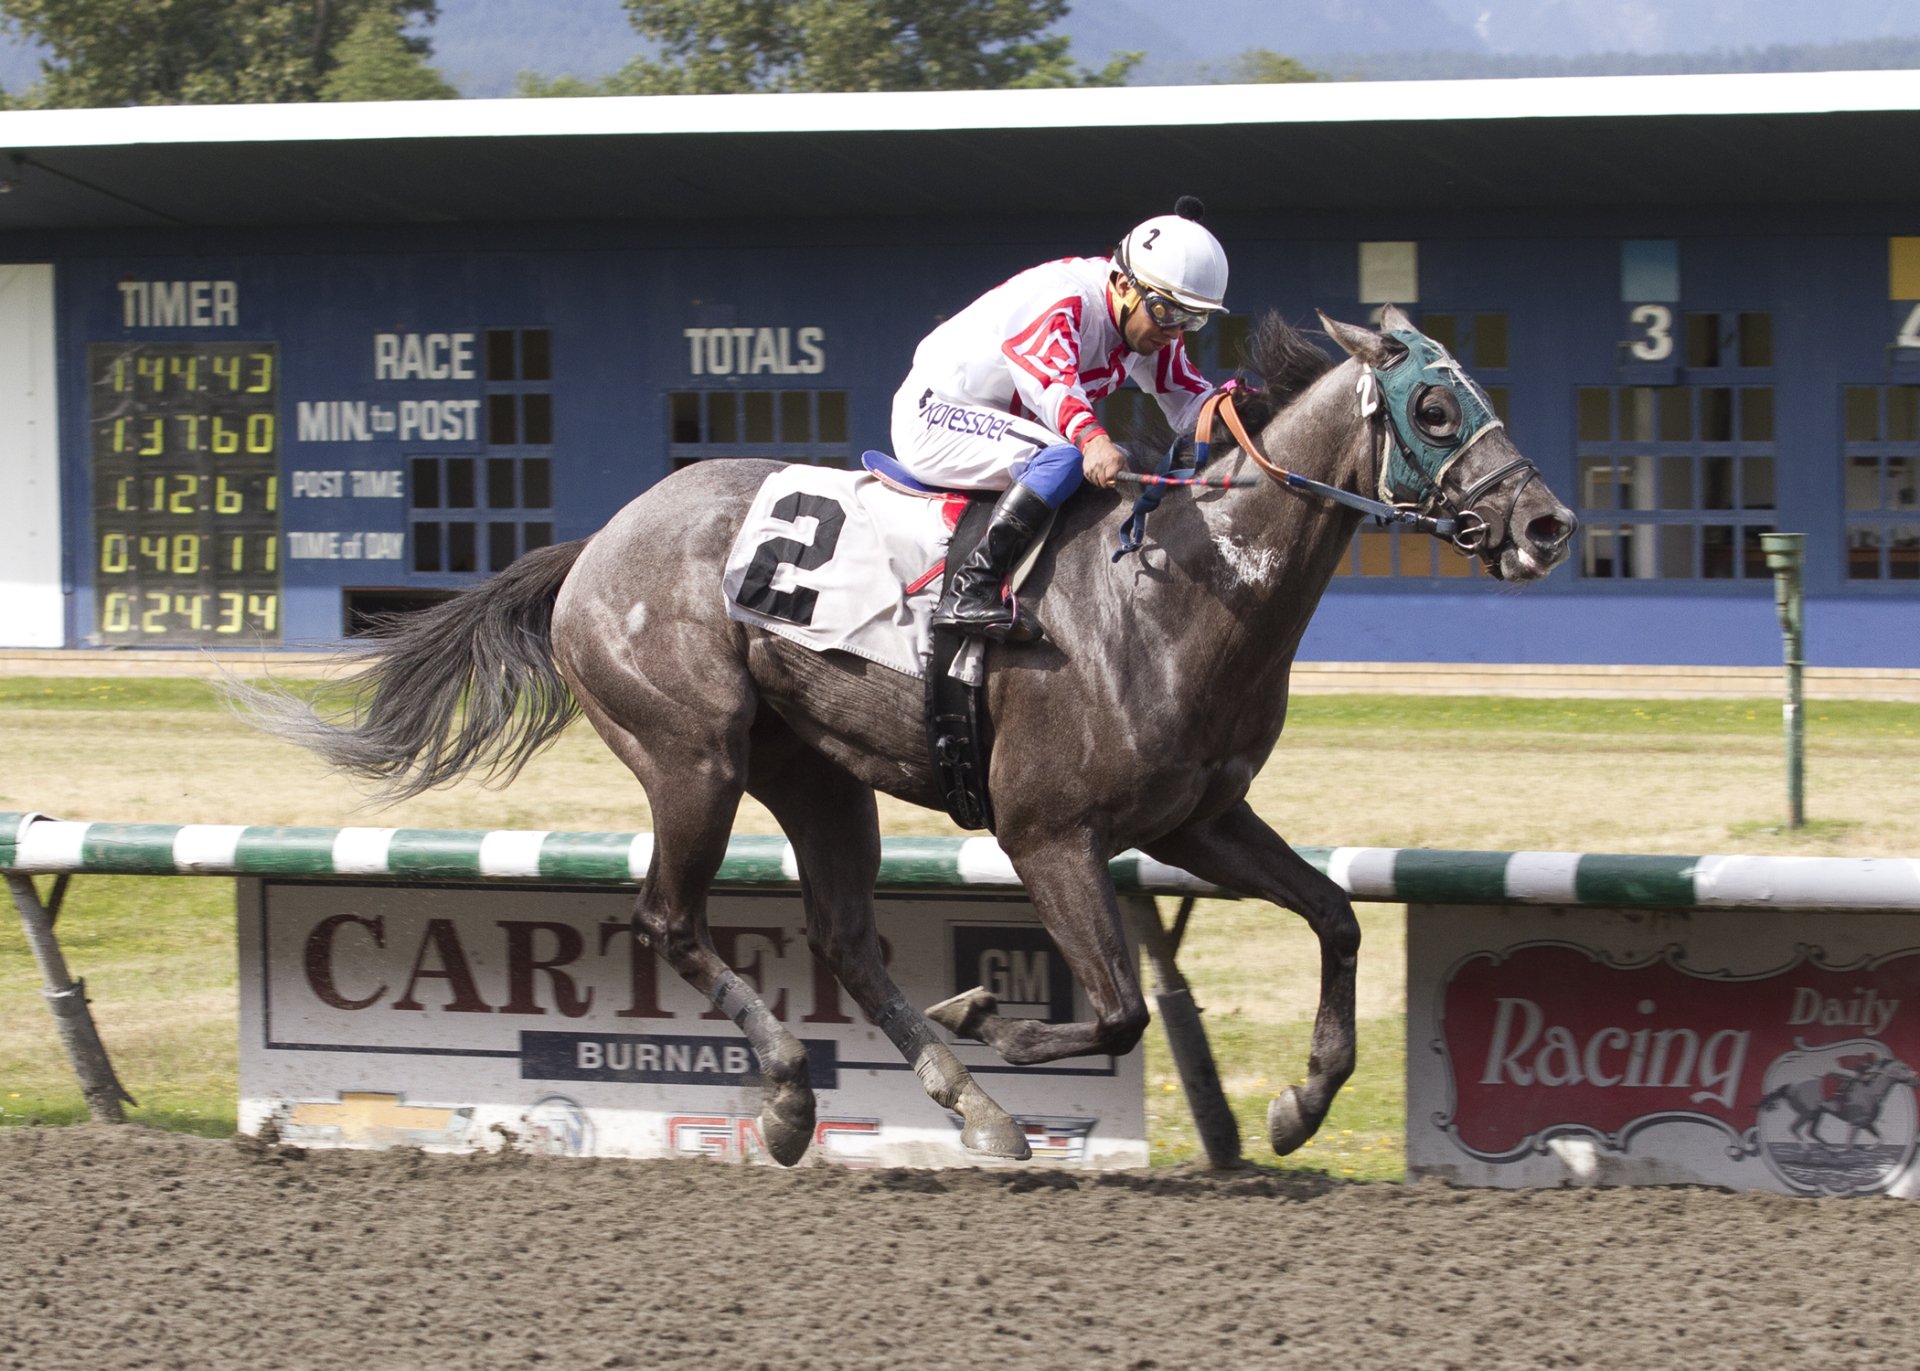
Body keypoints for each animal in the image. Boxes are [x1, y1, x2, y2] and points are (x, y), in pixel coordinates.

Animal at [235, 305, 1576, 1167]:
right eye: (1437, 404)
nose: (1548, 526)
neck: (1179, 588)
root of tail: (599, 542)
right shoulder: (1049, 834)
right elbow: (1116, 1012)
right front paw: (991, 1016)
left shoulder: (1200, 818)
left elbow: (1336, 917)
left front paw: (1301, 1104)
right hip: (693, 754)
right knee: (671, 918)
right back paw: (794, 1097)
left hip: (821, 778)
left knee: (842, 935)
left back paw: (962, 1105)